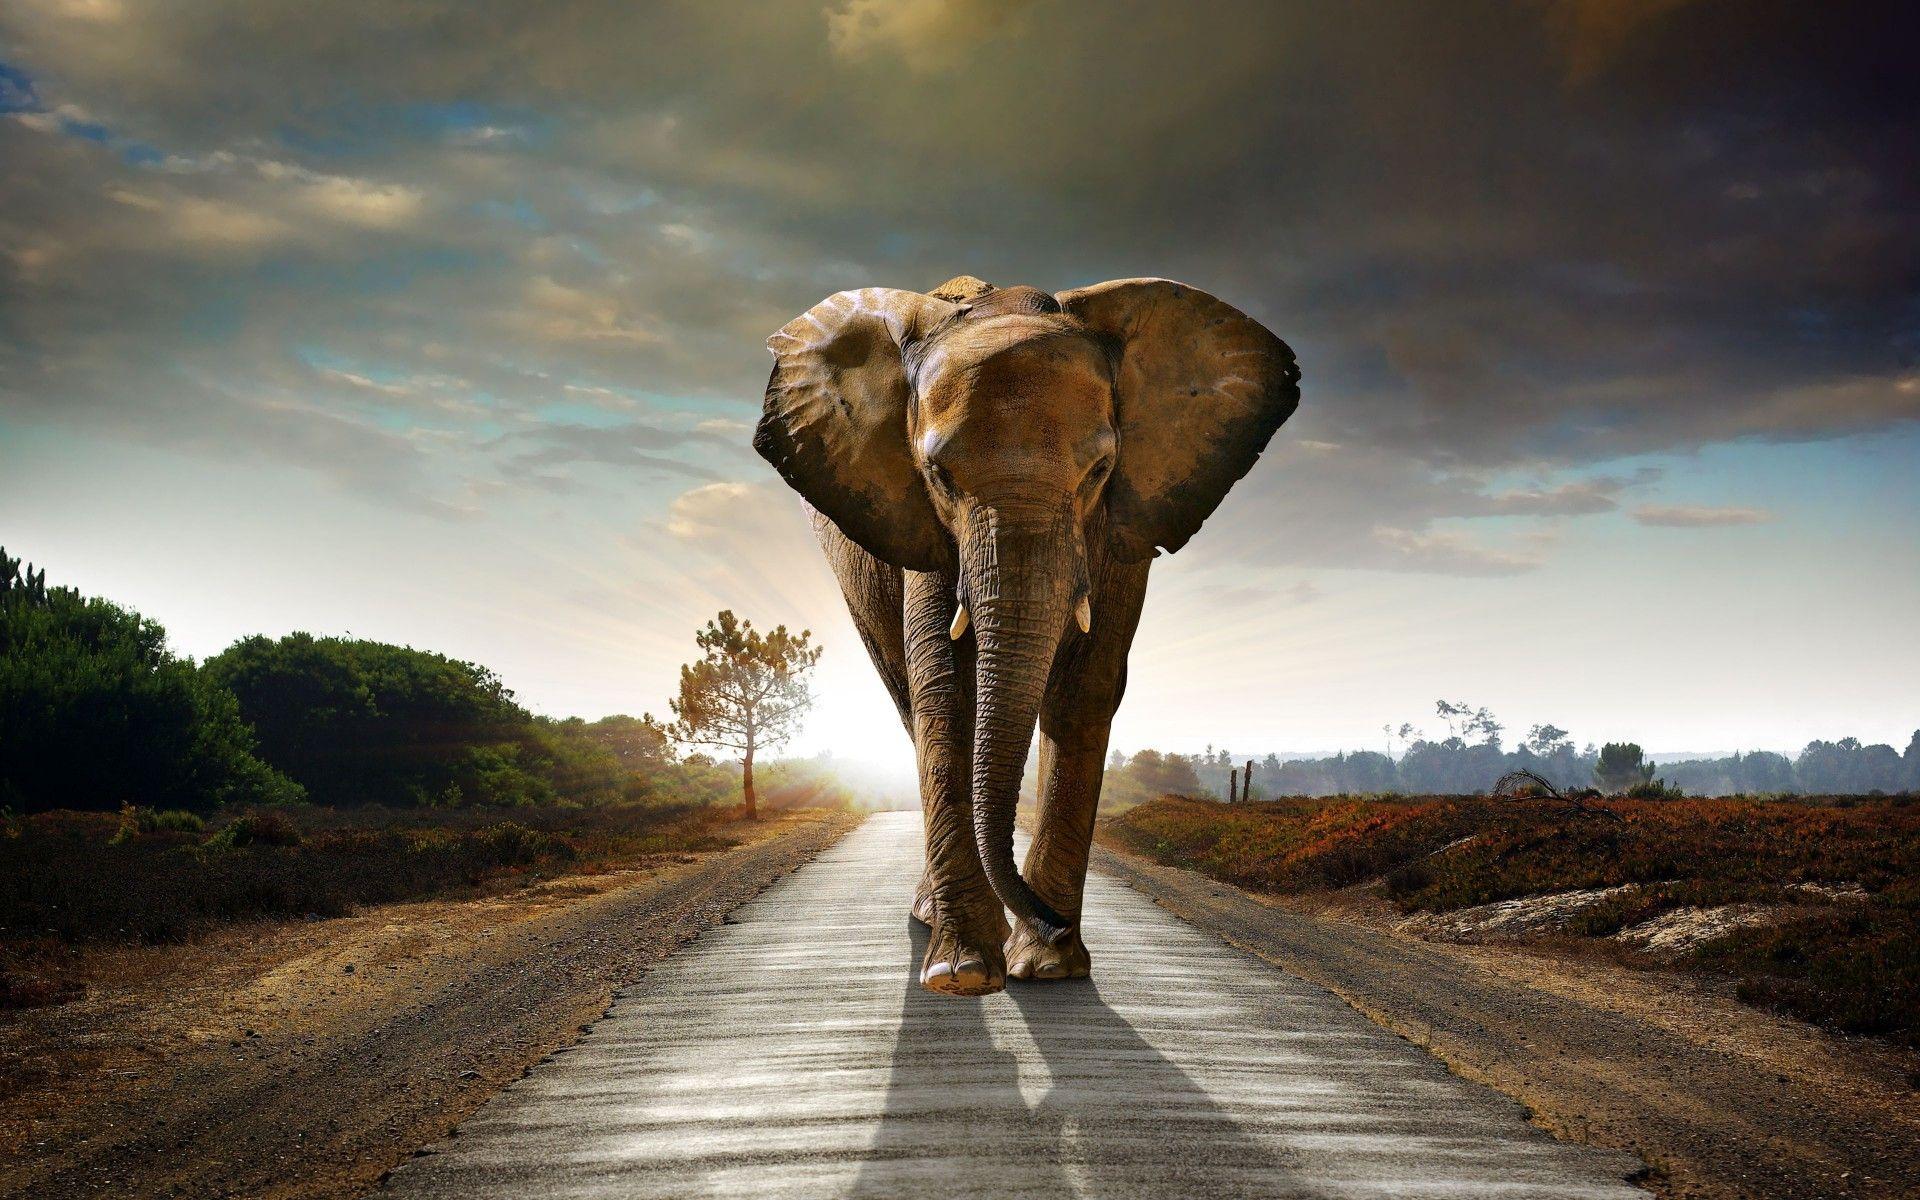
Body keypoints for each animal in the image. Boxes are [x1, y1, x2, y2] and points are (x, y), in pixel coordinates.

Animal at [754, 275, 1299, 995]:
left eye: (1099, 471)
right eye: (938, 475)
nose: (1051, 921)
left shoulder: (1122, 525)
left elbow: (1085, 689)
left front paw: (1048, 966)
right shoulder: (922, 527)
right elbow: (946, 689)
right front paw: (963, 973)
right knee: (908, 699)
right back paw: (934, 920)